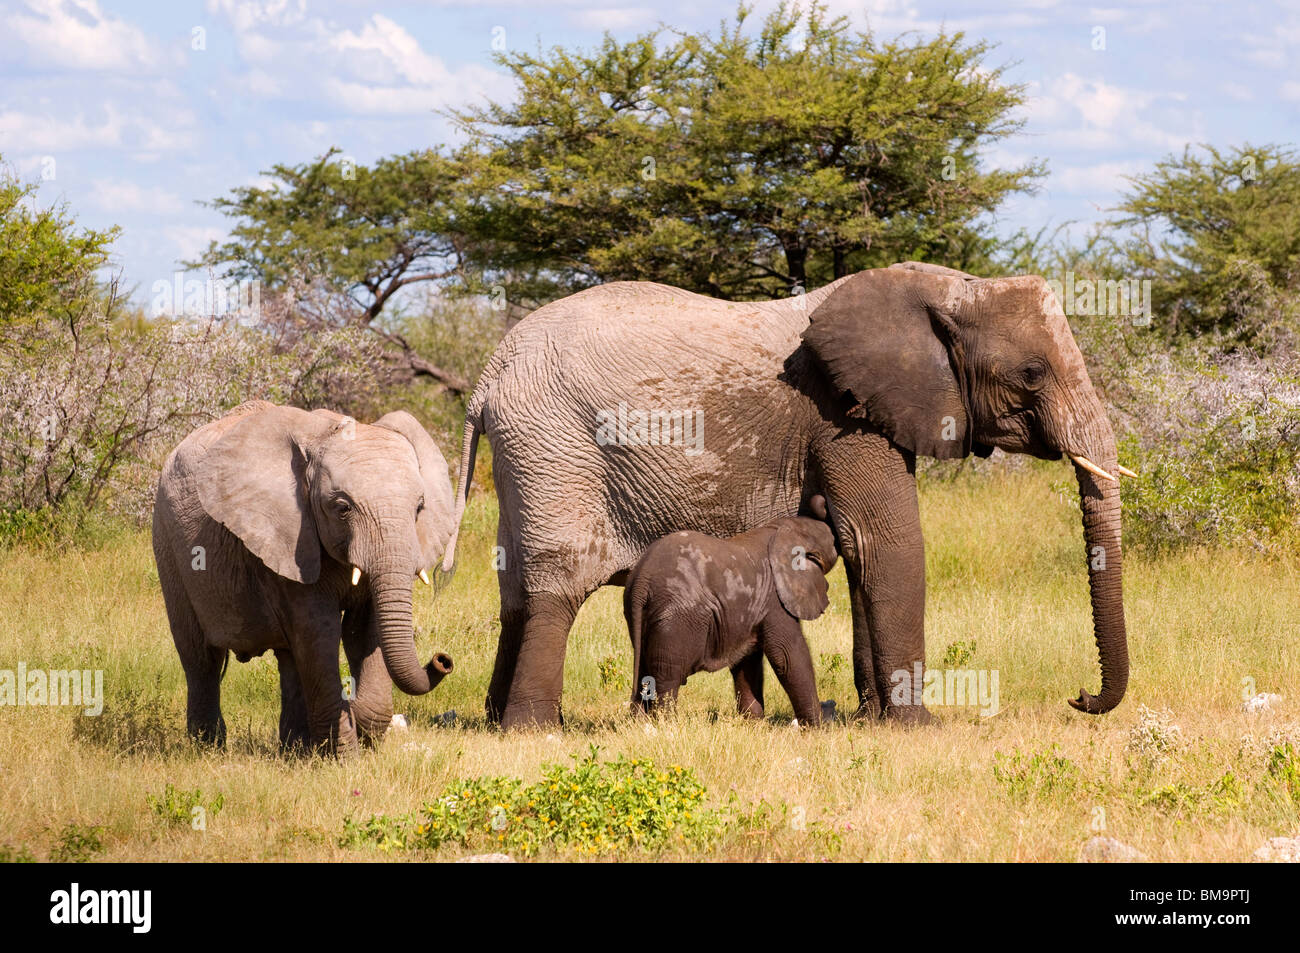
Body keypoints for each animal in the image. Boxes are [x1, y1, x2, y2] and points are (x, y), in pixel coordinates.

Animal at [152, 400, 457, 756]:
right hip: (167, 543)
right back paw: (208, 749)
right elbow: (319, 630)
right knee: (201, 658)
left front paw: (358, 727)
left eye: (419, 508)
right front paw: (344, 757)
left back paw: (294, 751)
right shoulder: (289, 537)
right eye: (342, 508)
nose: (442, 660)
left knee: (289, 659)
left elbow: (365, 630)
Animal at [624, 504, 839, 725]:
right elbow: (787, 656)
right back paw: (667, 723)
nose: (831, 706)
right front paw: (817, 726)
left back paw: (640, 723)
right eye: (832, 542)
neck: (781, 529)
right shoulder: (776, 598)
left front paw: (754, 723)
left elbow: (747, 660)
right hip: (676, 617)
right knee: (668, 677)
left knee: (645, 674)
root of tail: (641, 580)